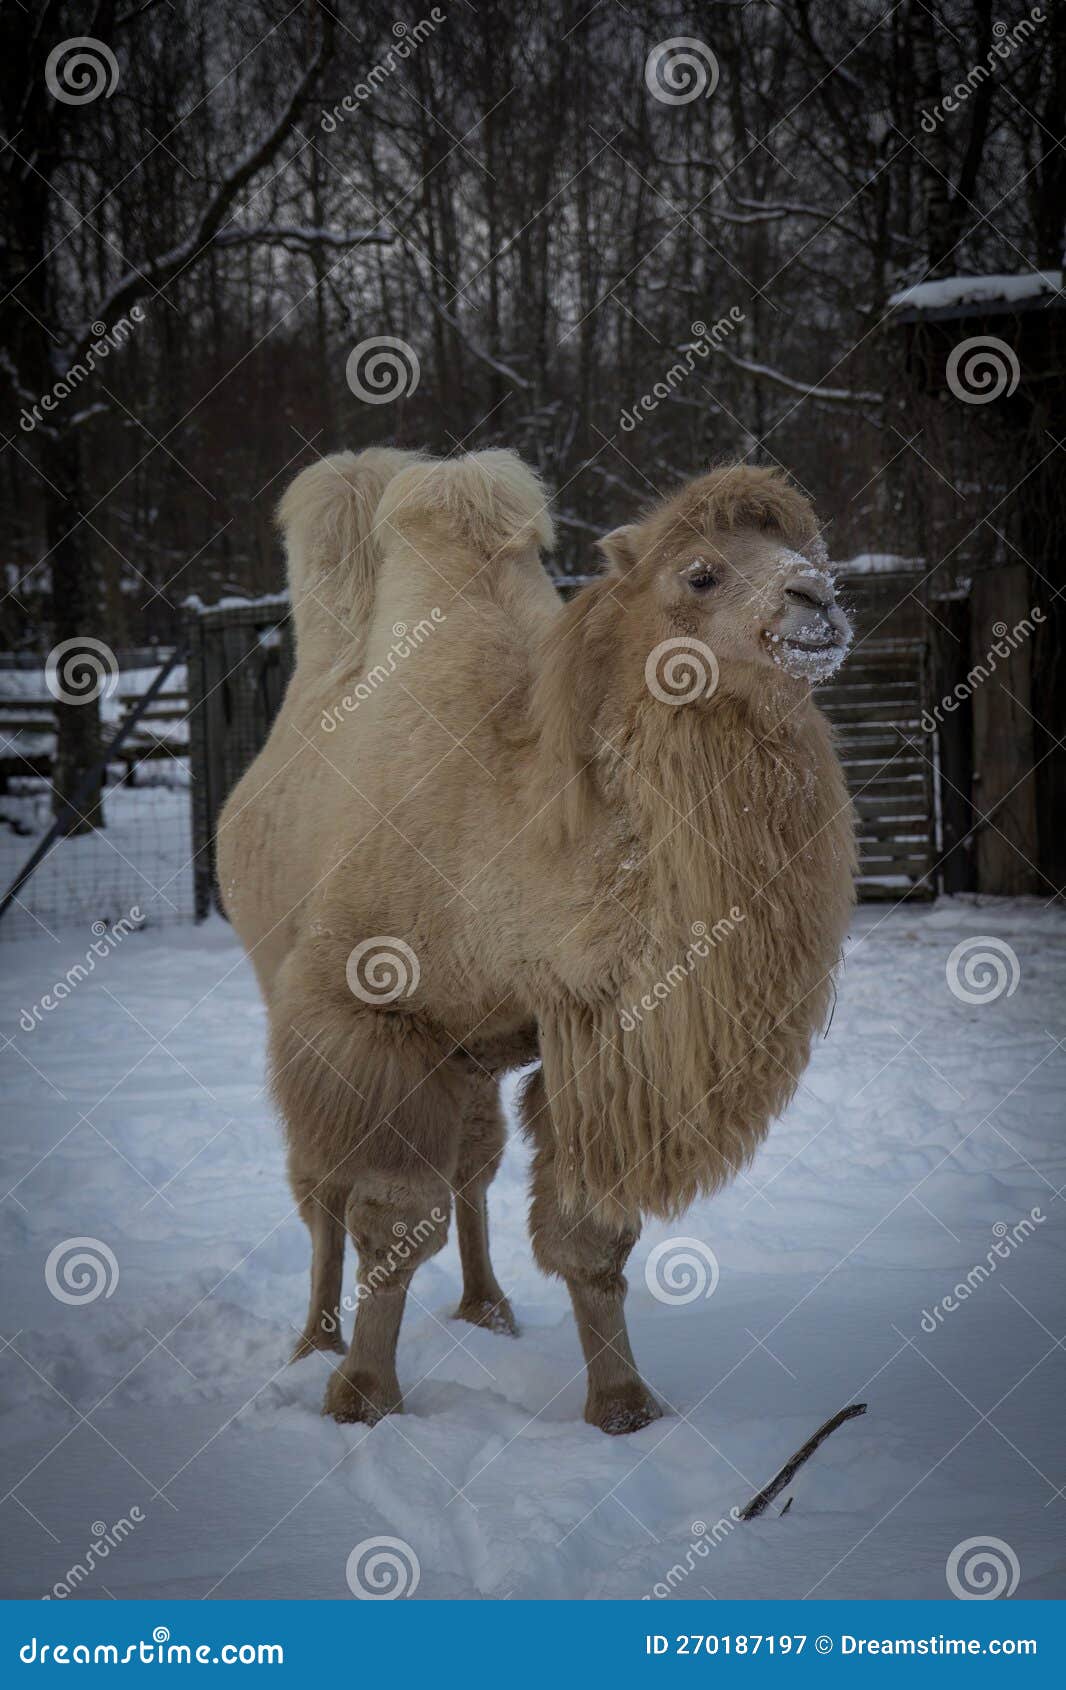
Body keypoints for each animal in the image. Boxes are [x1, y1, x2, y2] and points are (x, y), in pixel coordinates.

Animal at [217, 445, 857, 1434]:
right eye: (700, 573)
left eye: (815, 551)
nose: (815, 600)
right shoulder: (365, 1016)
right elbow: (388, 1220)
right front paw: (360, 1394)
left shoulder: (589, 1030)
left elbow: (591, 1235)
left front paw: (624, 1406)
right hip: (292, 994)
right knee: (321, 1183)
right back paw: (314, 1340)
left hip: (472, 1054)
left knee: (470, 1169)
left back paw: (487, 1309)